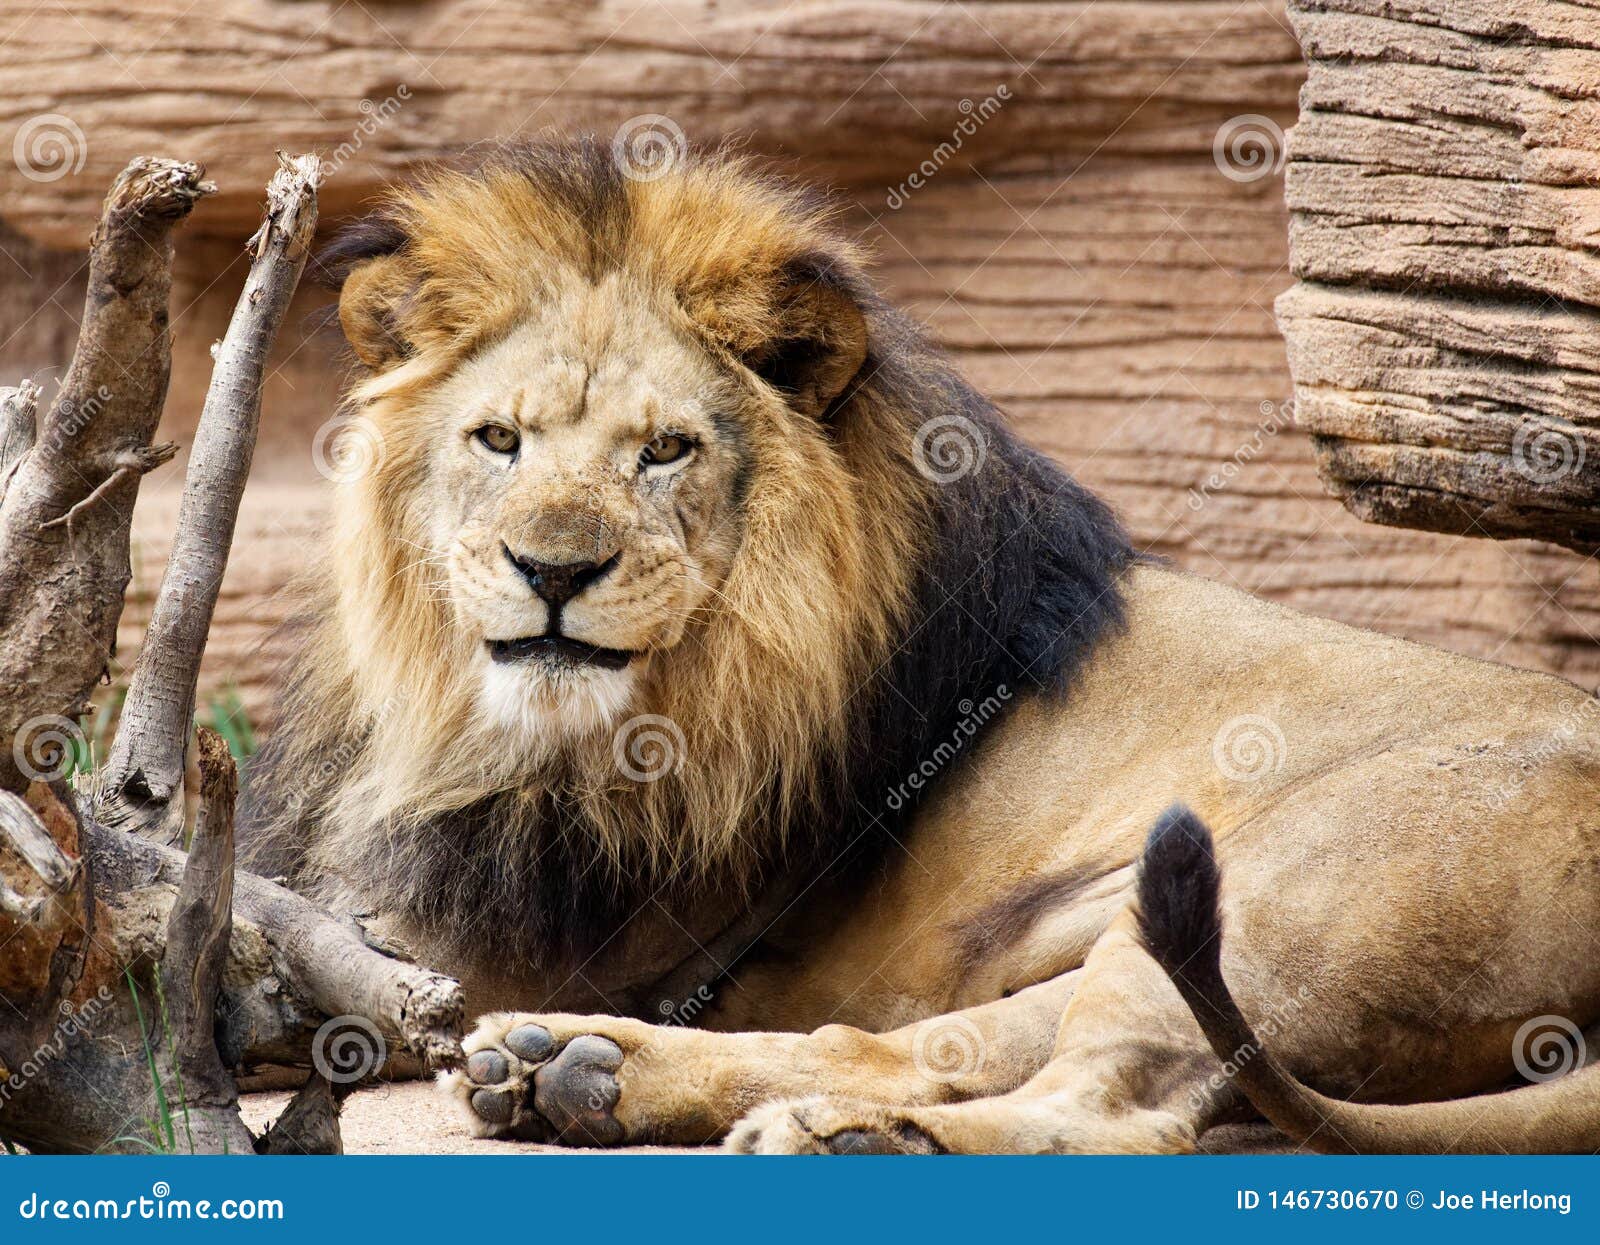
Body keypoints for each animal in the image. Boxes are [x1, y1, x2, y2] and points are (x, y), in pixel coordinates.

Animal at [244, 138, 1600, 1154]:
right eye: (498, 440)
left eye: (665, 450)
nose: (555, 571)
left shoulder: (471, 945)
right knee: (927, 1048)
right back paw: (578, 1073)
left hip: (1274, 894)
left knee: (1107, 1117)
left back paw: (836, 1138)